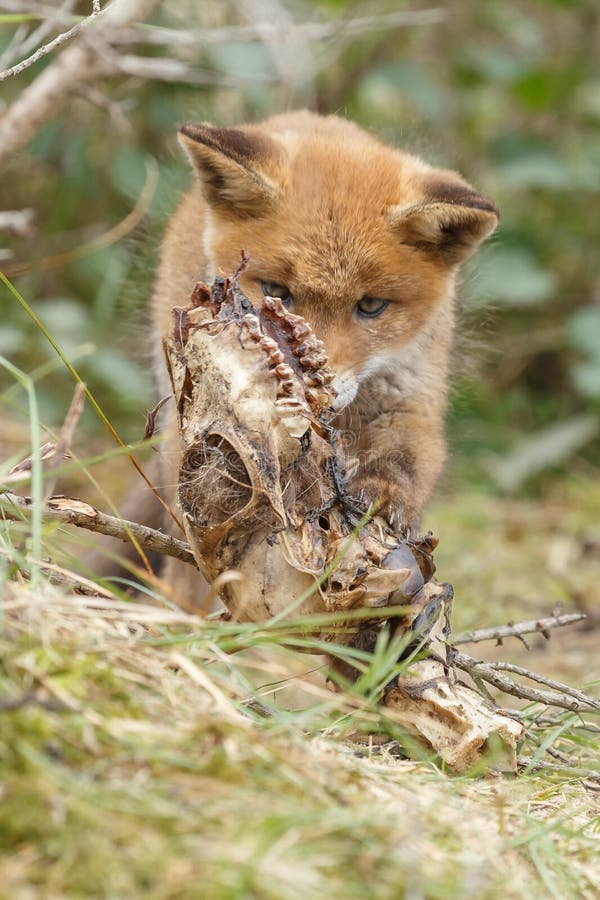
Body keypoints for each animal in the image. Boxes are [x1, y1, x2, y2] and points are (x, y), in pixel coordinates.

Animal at [149, 110, 498, 608]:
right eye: (276, 291)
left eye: (371, 305)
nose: (320, 394)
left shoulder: (411, 395)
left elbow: (405, 463)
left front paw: (381, 501)